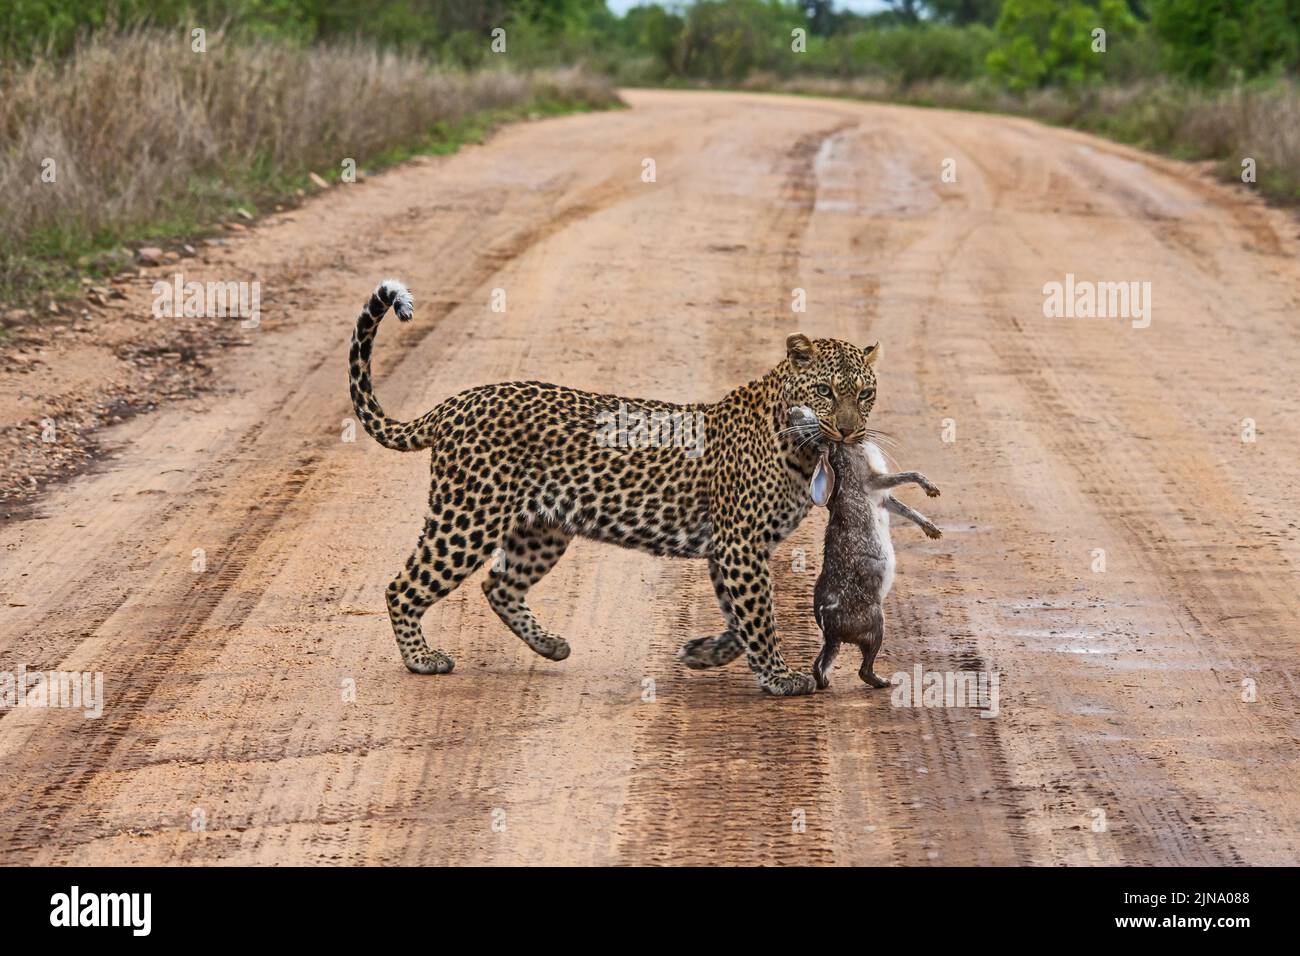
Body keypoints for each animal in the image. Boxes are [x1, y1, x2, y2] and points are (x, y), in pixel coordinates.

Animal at [347, 278, 882, 697]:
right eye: (825, 391)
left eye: (866, 394)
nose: (850, 431)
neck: (800, 444)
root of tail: (456, 402)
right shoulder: (740, 544)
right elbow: (759, 615)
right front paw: (779, 677)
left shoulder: (729, 549)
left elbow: (740, 616)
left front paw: (703, 653)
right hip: (467, 519)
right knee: (404, 586)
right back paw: (422, 659)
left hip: (543, 530)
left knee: (498, 584)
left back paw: (551, 645)